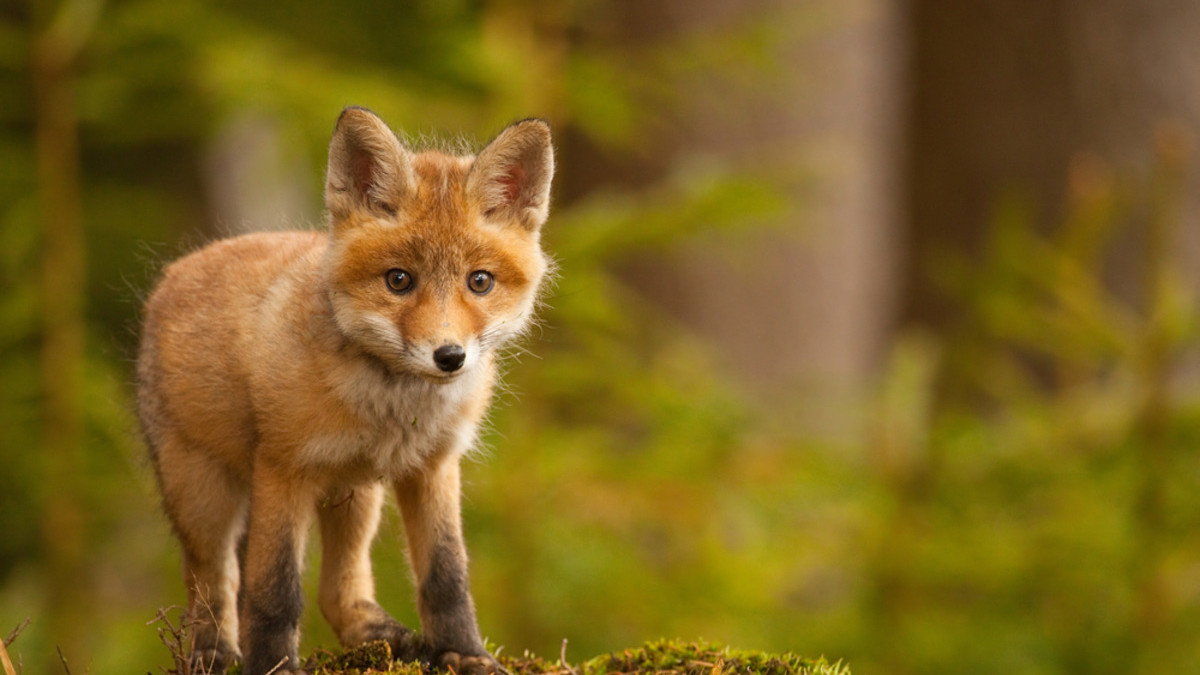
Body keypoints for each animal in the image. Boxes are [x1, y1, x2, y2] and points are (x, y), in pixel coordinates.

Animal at [136, 106, 554, 675]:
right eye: (398, 280)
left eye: (480, 282)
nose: (449, 356)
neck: (395, 410)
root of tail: (172, 275)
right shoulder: (283, 469)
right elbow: (275, 592)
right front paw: (274, 665)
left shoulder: (434, 466)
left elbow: (447, 577)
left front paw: (465, 652)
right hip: (203, 493)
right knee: (211, 583)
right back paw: (213, 652)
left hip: (355, 494)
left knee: (338, 589)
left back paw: (380, 635)